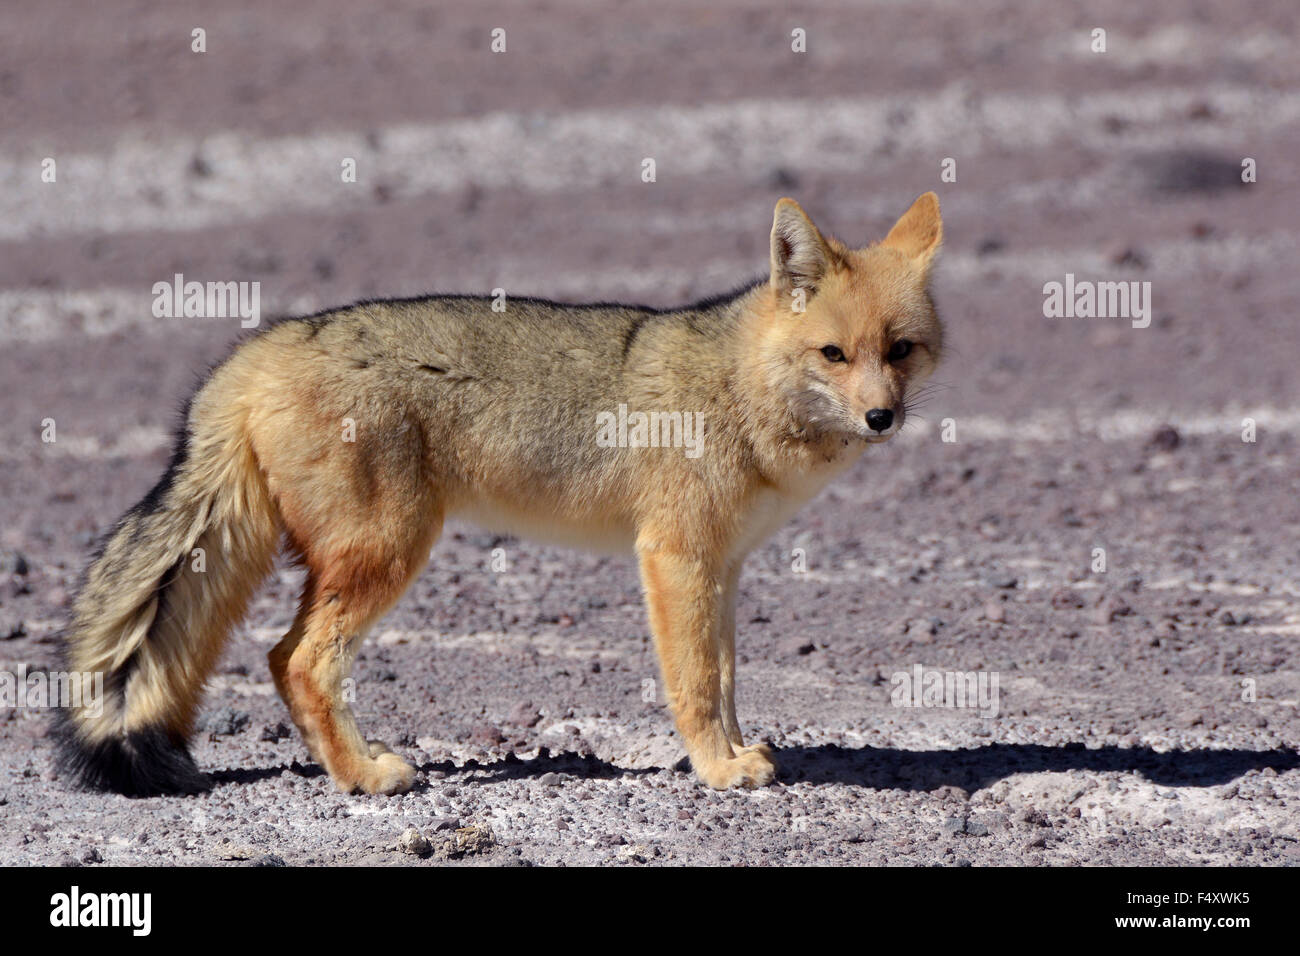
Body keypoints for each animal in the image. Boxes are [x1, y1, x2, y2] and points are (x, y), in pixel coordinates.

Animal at [55, 193, 944, 796]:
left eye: (901, 350)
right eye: (833, 354)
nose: (882, 417)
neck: (741, 387)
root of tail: (259, 347)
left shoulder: (721, 567)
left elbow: (723, 679)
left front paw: (735, 751)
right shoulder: (674, 558)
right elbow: (693, 684)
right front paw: (716, 769)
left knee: (283, 657)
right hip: (389, 550)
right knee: (297, 659)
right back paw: (366, 776)